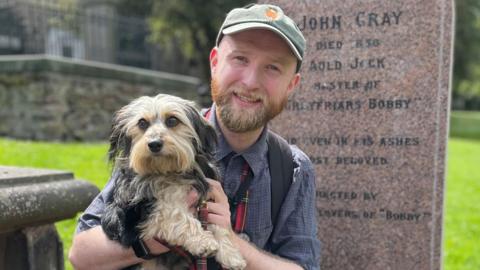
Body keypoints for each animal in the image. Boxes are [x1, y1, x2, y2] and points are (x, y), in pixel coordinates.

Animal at [100, 94, 244, 268]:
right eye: (142, 123)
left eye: (172, 120)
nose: (154, 144)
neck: (168, 173)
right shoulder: (142, 214)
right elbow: (176, 215)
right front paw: (203, 241)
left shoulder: (207, 200)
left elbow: (219, 224)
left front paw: (231, 254)